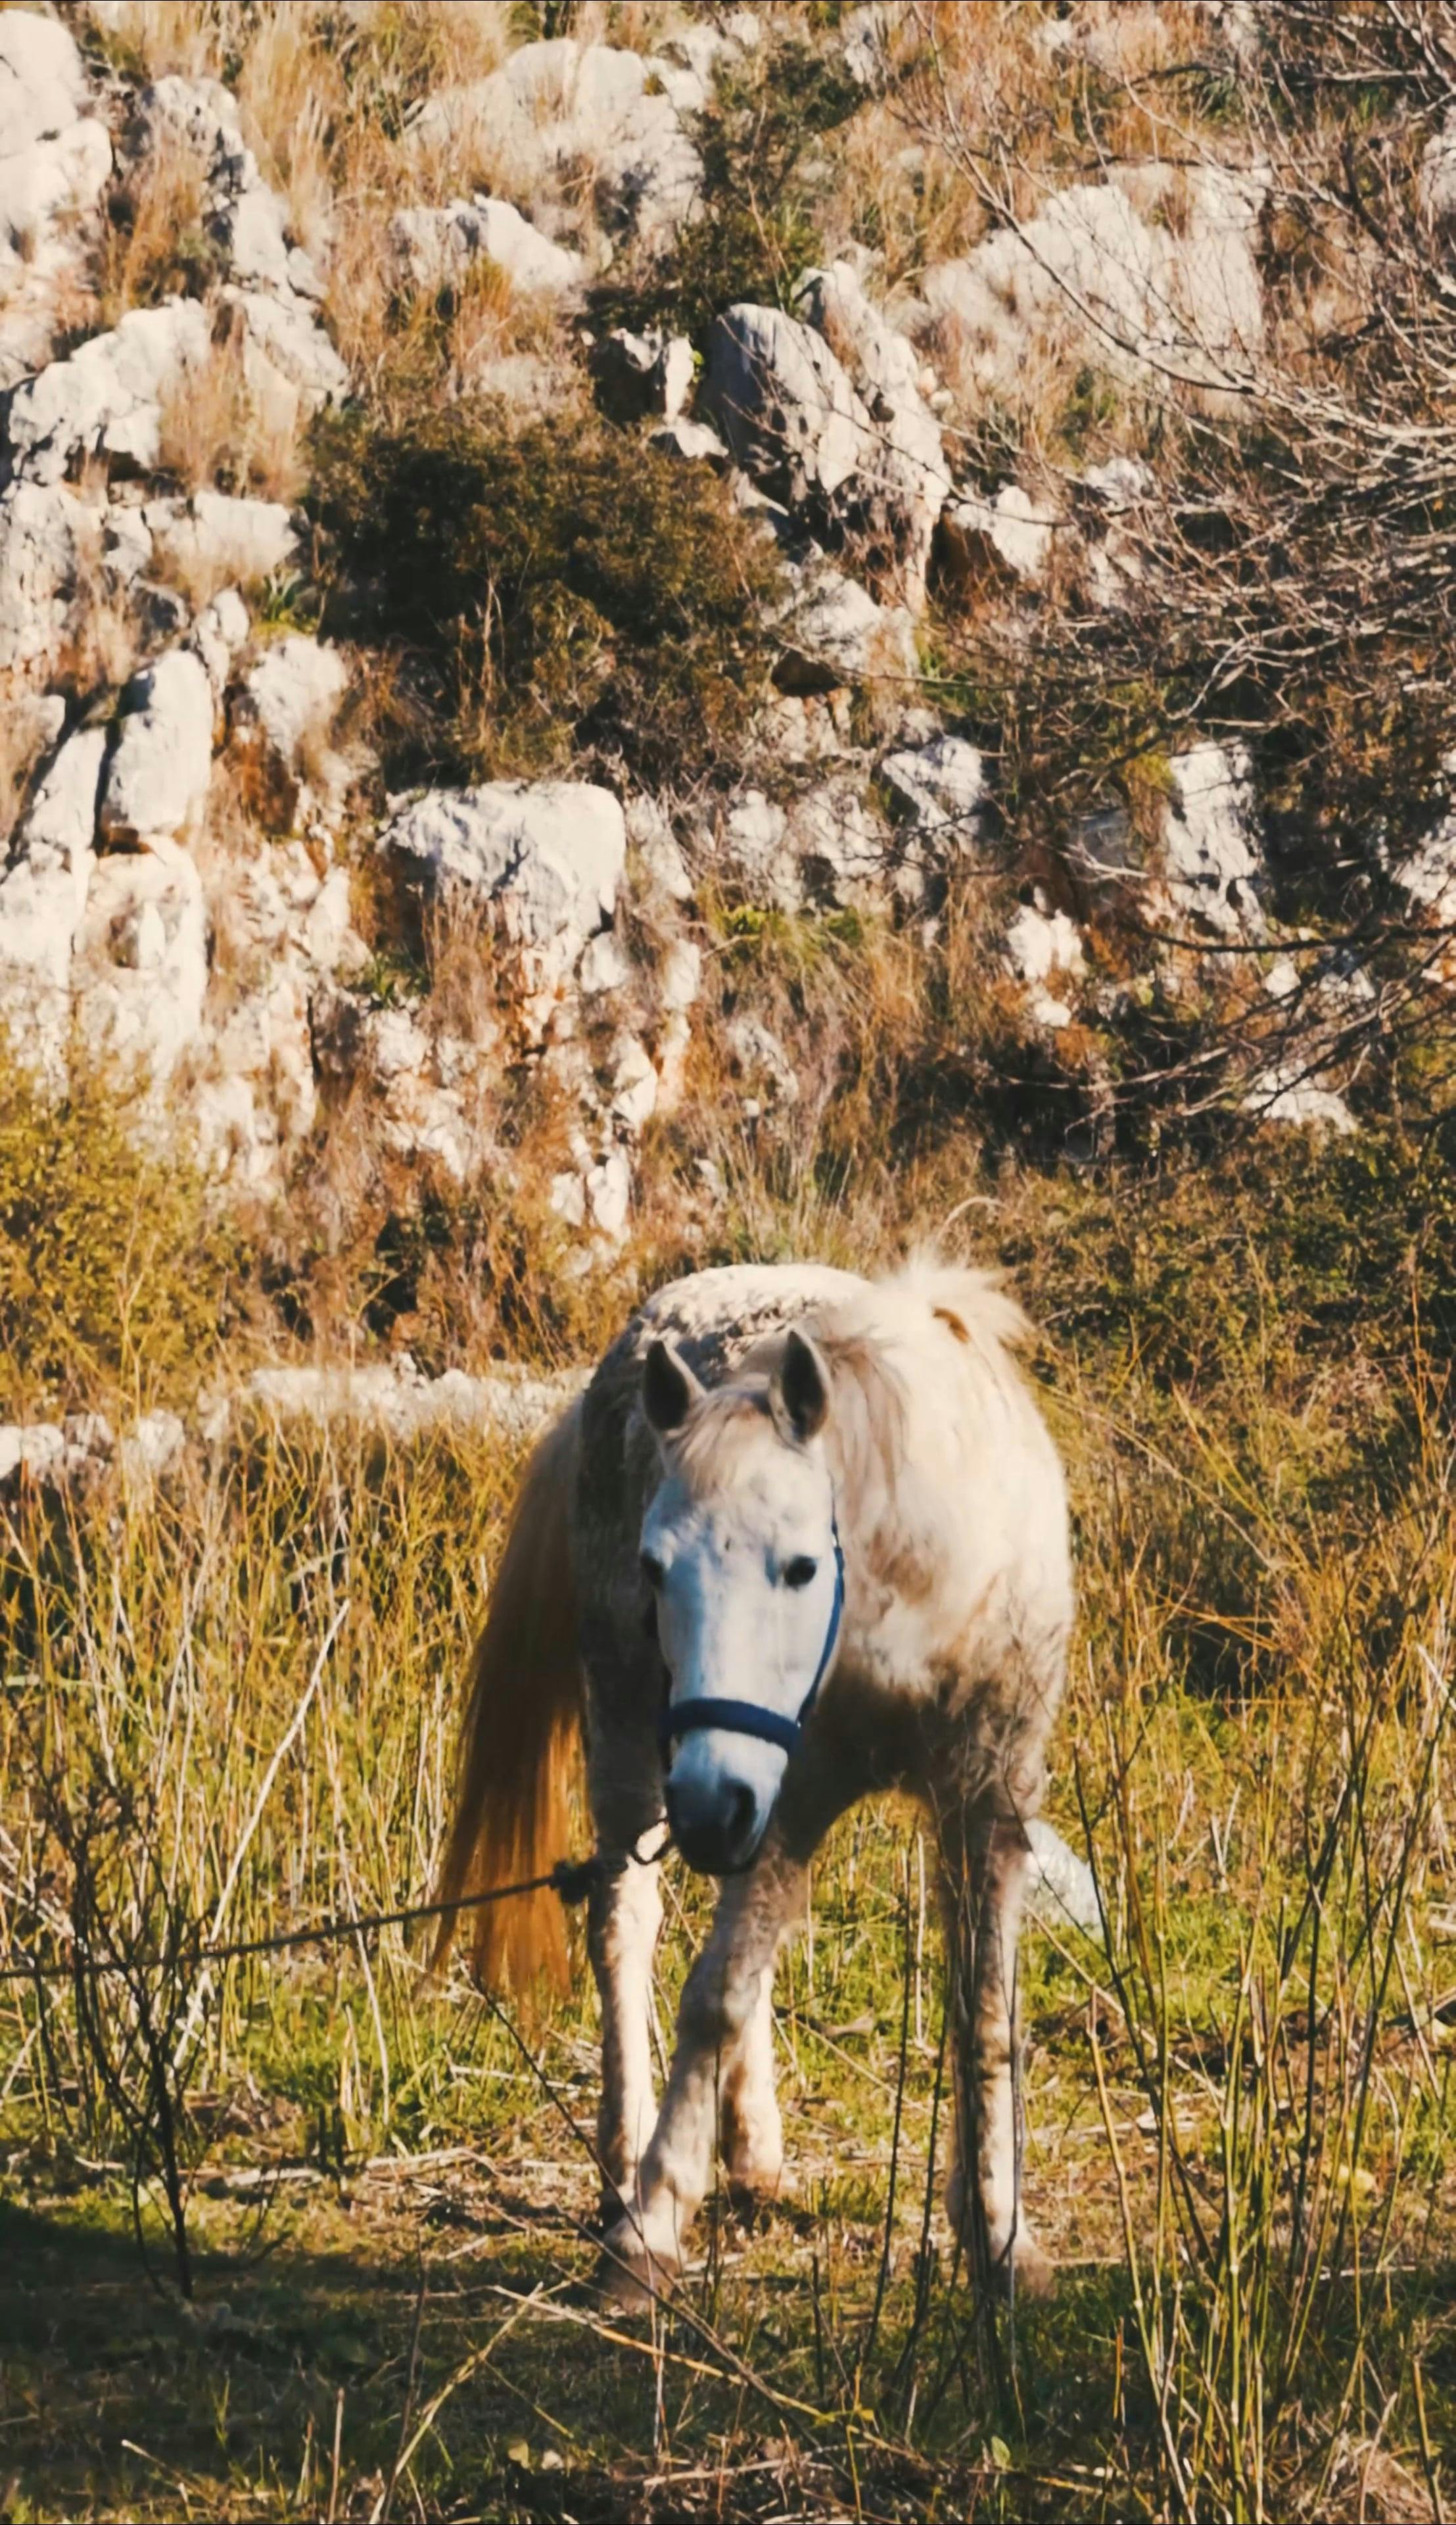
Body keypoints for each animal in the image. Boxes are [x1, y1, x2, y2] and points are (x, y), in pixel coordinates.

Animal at [434, 1258, 1075, 2304]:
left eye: (801, 1564)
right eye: (657, 1568)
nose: (705, 1808)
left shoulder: (984, 1804)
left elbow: (982, 2014)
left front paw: (999, 2236)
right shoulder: (778, 1798)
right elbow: (712, 1999)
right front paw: (649, 2232)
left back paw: (753, 2154)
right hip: (638, 1749)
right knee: (625, 1929)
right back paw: (625, 2166)